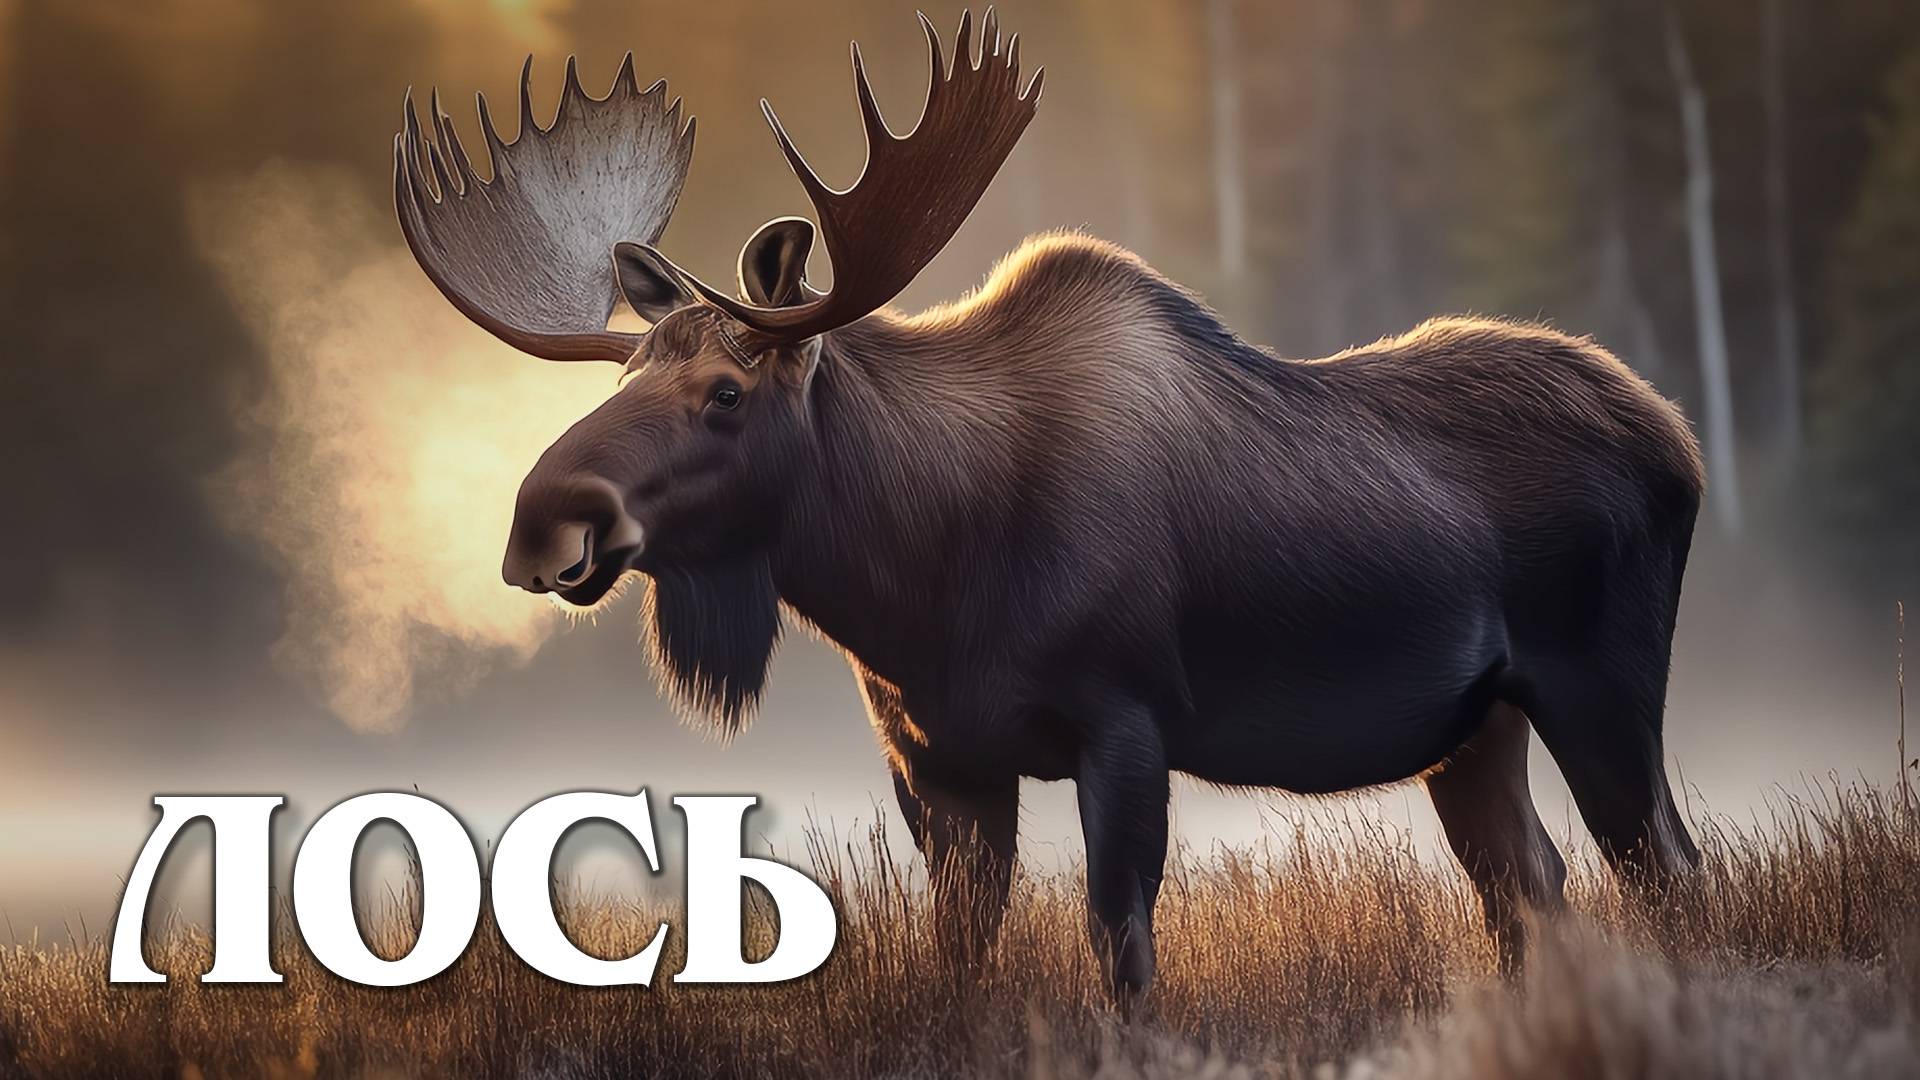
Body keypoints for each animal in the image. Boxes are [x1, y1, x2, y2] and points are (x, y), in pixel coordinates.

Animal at [394, 10, 1704, 1001]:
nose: (543, 523)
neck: (920, 582)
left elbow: (1120, 951)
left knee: (1668, 869)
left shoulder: (1123, 722)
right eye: (619, 380)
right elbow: (957, 958)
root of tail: (1679, 437)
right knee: (1531, 886)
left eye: (725, 390)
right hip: (1472, 730)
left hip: (1600, 684)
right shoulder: (938, 763)